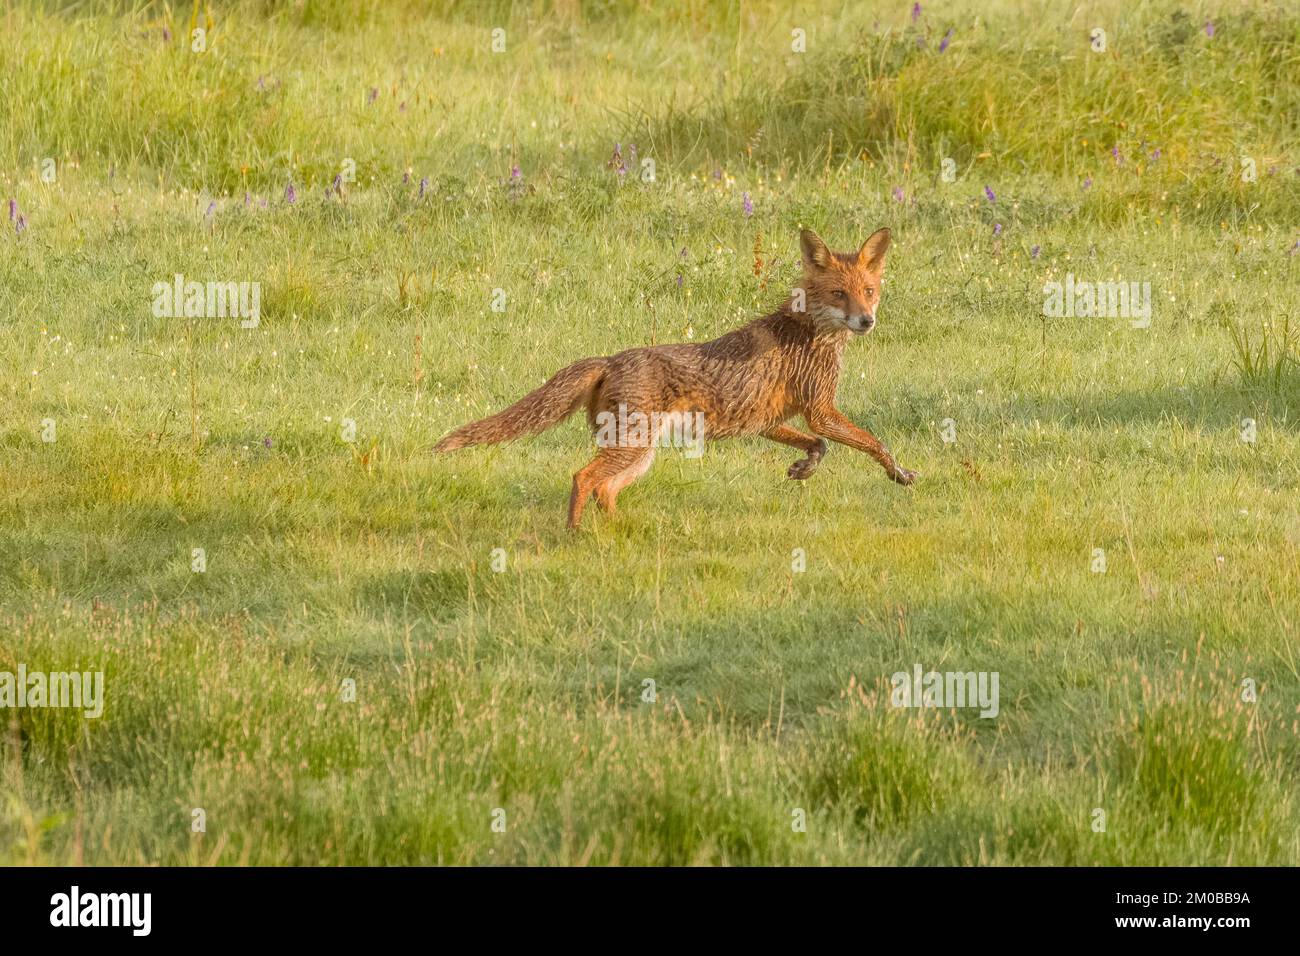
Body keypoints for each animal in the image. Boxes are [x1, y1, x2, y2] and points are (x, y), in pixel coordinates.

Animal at [435, 226, 917, 528]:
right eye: (839, 294)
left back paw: (620, 532)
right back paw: (574, 536)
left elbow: (818, 447)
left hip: (639, 454)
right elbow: (874, 443)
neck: (811, 332)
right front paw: (899, 474)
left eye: (868, 291)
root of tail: (610, 359)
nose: (867, 321)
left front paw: (802, 469)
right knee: (583, 479)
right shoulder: (820, 410)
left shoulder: (770, 421)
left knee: (605, 491)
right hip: (631, 448)